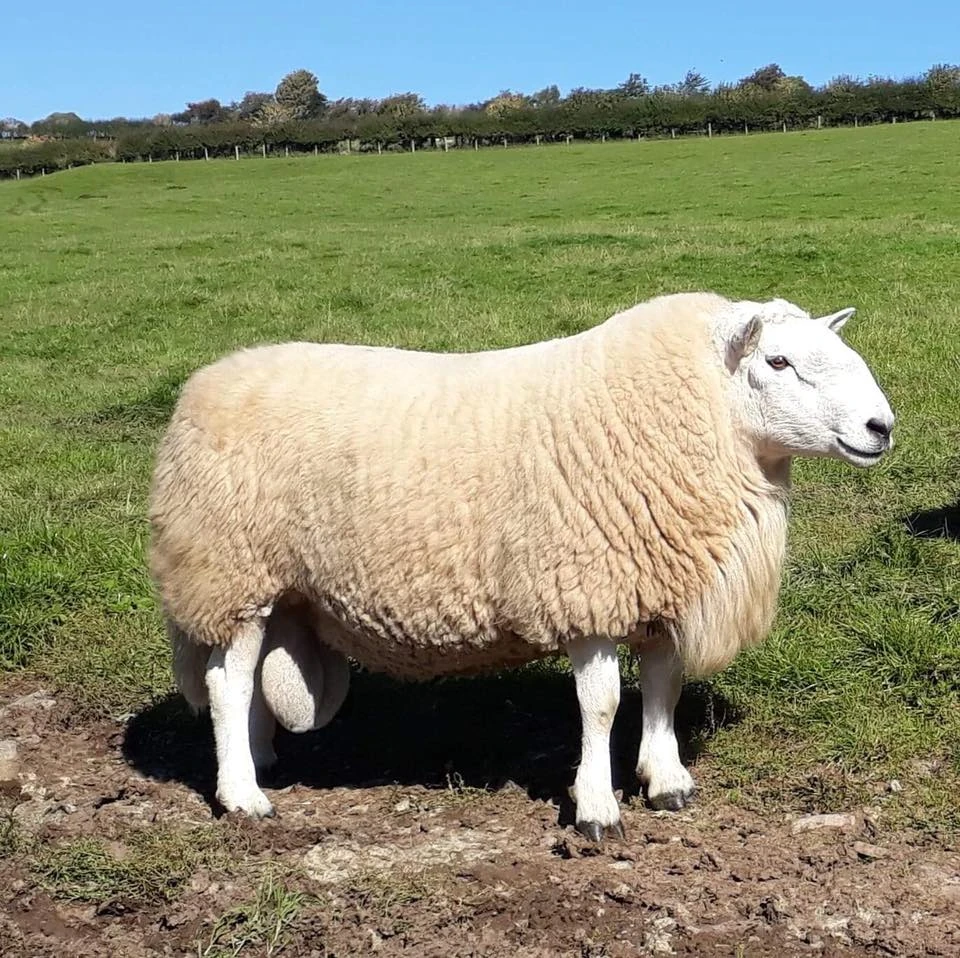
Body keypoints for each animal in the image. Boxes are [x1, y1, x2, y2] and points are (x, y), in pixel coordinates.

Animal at [150, 290, 895, 839]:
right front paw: (597, 808)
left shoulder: (655, 585)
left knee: (248, 687)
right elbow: (602, 703)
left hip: (278, 591)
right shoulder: (587, 588)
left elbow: (663, 686)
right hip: (230, 574)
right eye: (778, 361)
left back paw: (257, 759)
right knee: (227, 685)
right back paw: (242, 796)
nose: (881, 428)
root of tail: (204, 384)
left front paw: (666, 780)